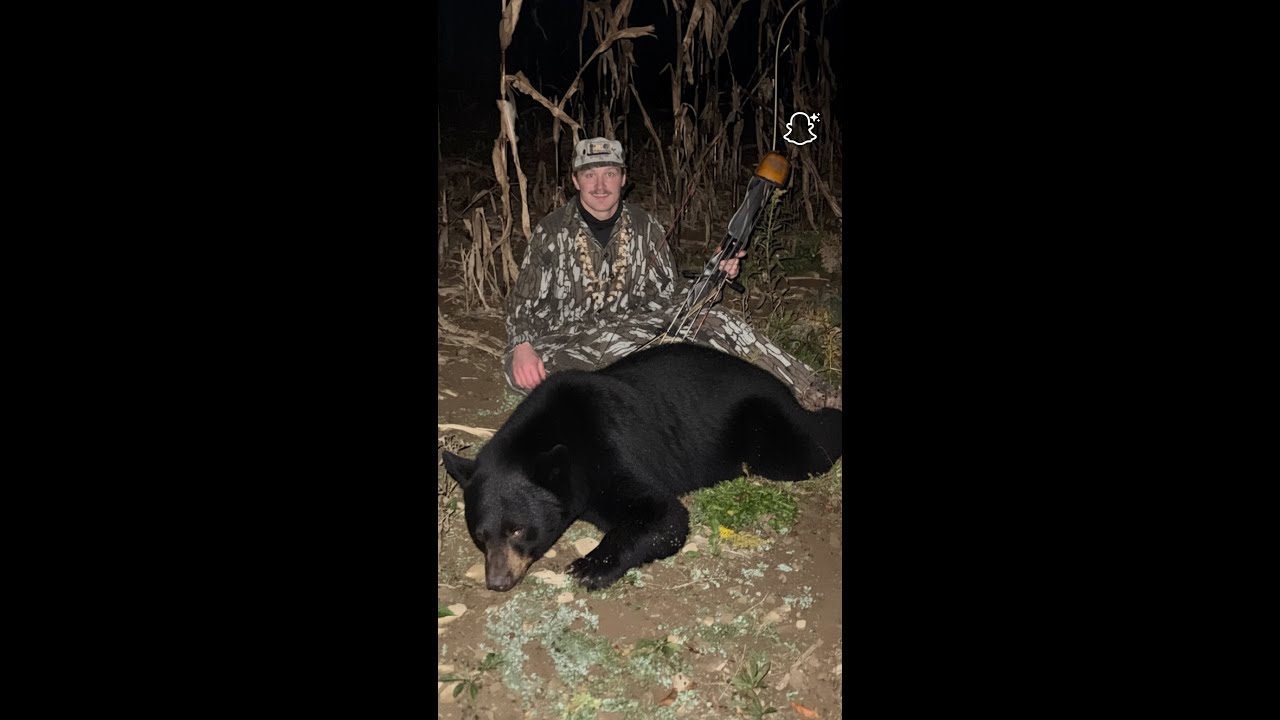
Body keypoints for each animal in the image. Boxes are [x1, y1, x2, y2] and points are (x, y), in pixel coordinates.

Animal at [441, 343, 841, 592]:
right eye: (480, 536)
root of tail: (779, 385)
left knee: (811, 447)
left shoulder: (610, 450)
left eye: (518, 531)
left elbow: (663, 514)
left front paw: (590, 565)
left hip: (766, 428)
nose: (498, 581)